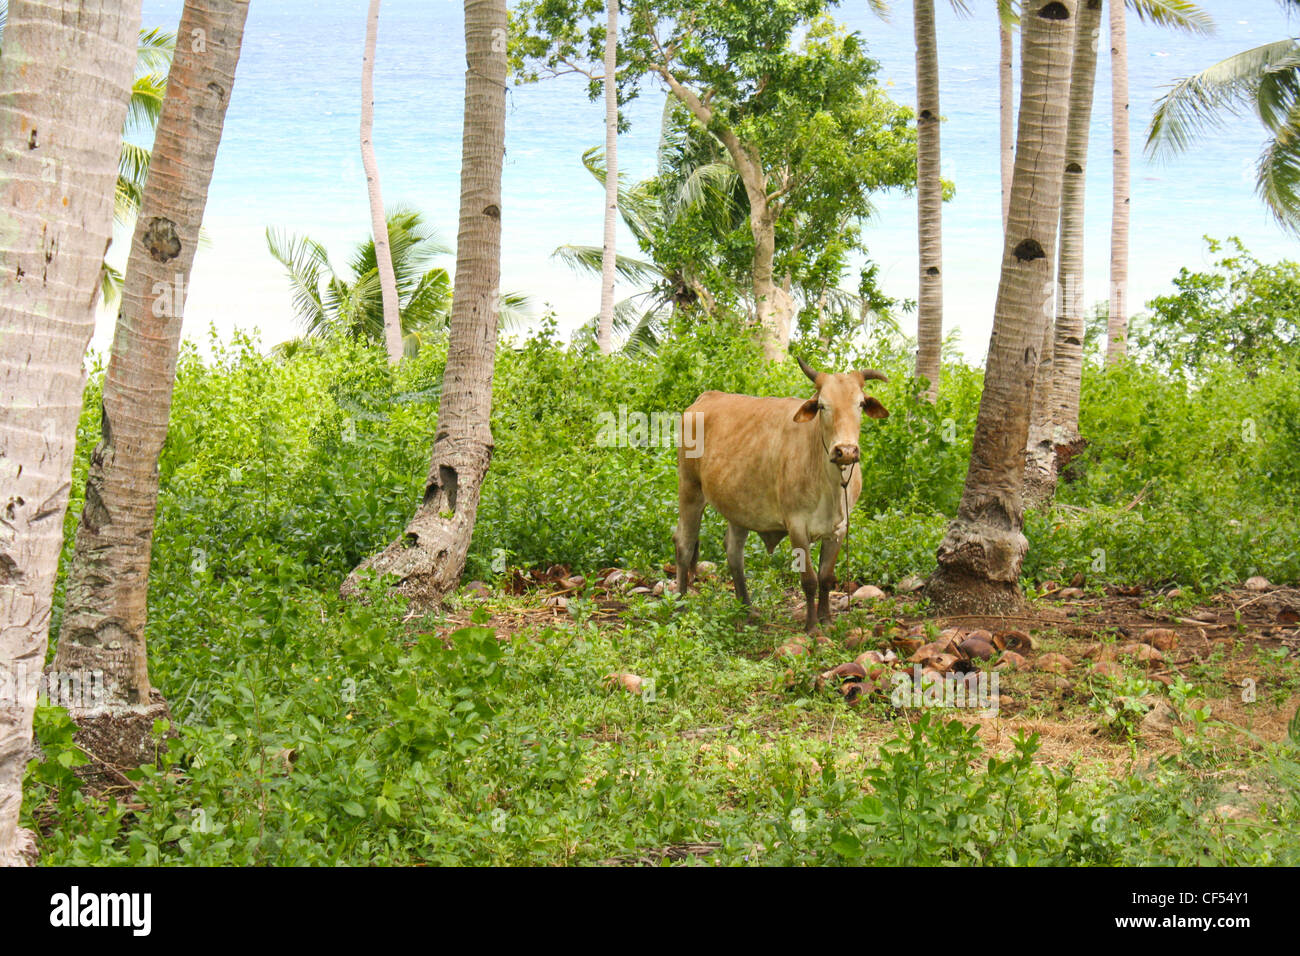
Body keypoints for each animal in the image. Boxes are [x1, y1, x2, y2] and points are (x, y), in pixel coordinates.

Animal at [673, 356, 889, 631]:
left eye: (860, 404)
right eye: (822, 405)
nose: (846, 451)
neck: (830, 483)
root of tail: (706, 397)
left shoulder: (840, 528)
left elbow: (826, 577)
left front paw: (827, 621)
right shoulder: (797, 526)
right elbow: (809, 580)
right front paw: (811, 627)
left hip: (739, 506)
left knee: (734, 552)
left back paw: (746, 608)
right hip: (690, 489)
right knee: (684, 544)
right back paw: (680, 604)